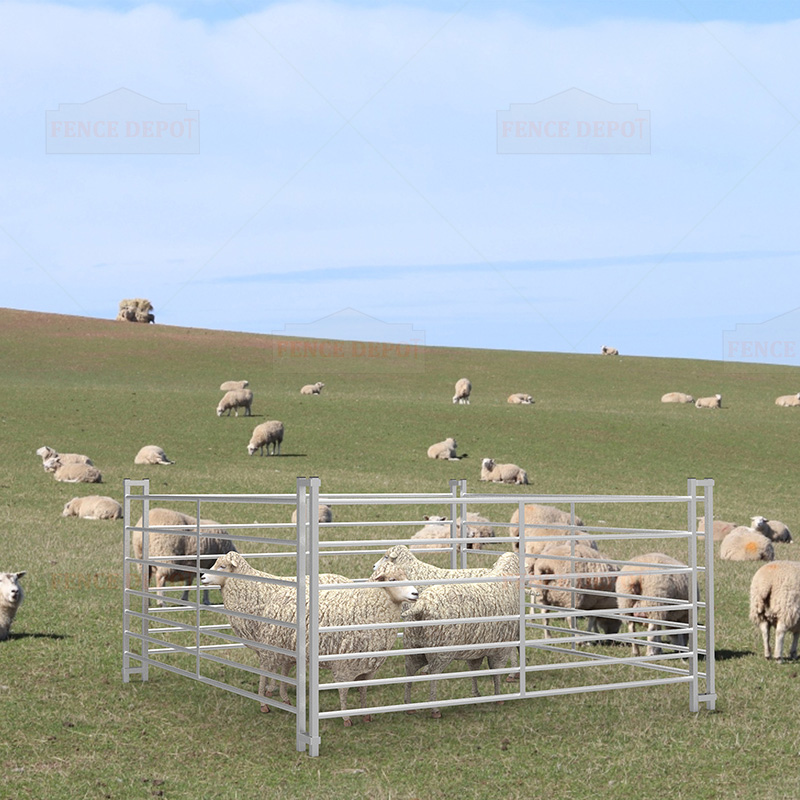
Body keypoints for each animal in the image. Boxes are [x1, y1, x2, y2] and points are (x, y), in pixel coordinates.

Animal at [202, 551, 418, 724]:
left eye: (222, 566)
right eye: (392, 579)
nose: (202, 576)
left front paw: (362, 714)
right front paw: (347, 717)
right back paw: (268, 701)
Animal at [395, 551, 521, 718]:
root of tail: (421, 606)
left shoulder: (475, 650)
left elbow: (474, 670)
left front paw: (476, 694)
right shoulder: (500, 649)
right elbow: (496, 672)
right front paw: (498, 696)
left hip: (413, 648)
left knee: (409, 672)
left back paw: (408, 705)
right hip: (440, 651)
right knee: (433, 674)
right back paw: (434, 708)